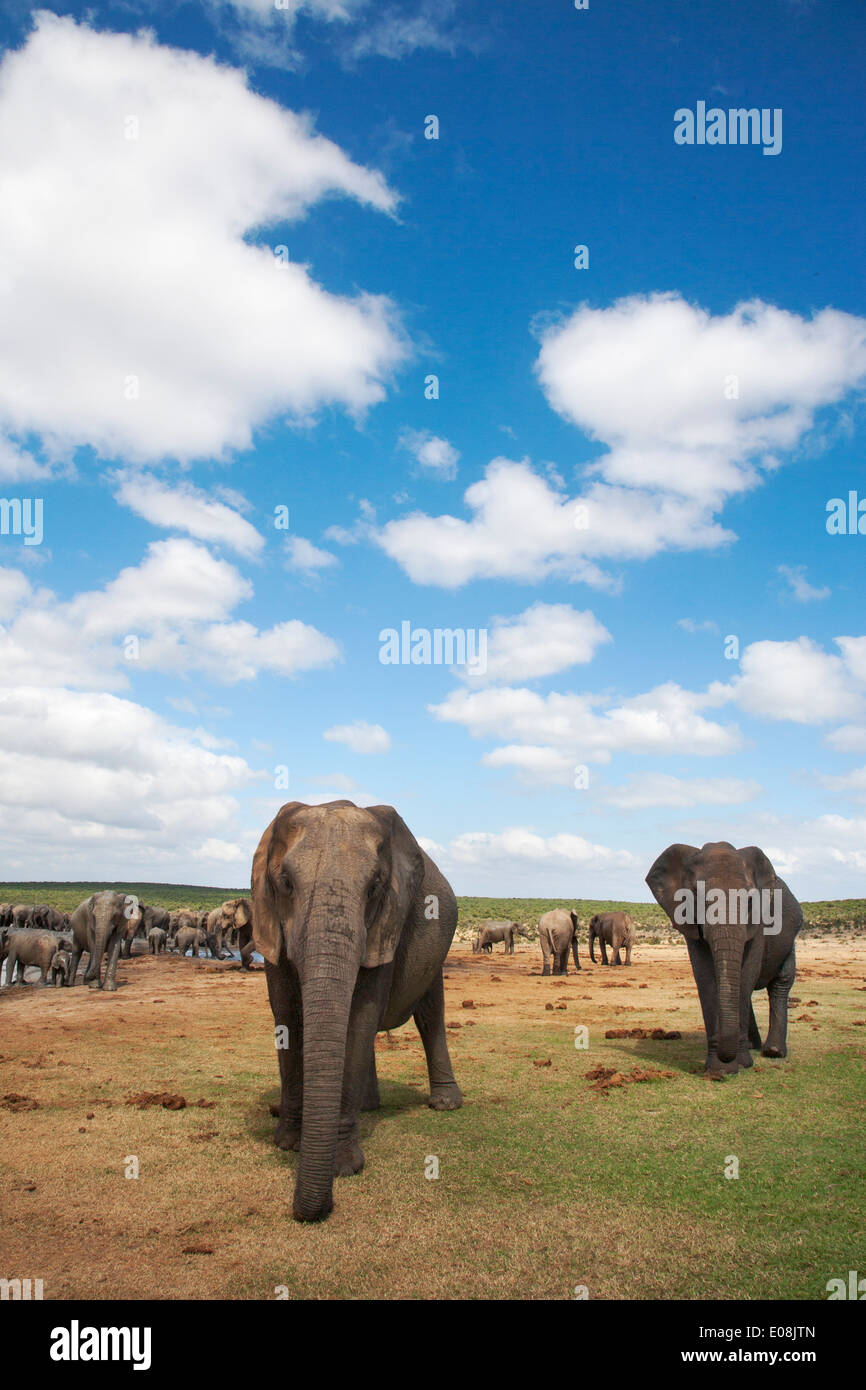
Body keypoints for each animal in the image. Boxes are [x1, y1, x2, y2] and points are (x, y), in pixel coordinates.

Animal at [252, 799, 463, 1223]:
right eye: (286, 883)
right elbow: (285, 1015)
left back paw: (445, 1104)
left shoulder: (386, 922)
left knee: (431, 1013)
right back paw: (370, 1106)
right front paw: (287, 1143)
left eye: (374, 887)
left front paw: (344, 1166)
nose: (307, 1213)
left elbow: (361, 1018)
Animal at [646, 841, 802, 1077]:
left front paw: (740, 1065)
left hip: (790, 939)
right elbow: (705, 977)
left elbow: (746, 975)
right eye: (697, 896)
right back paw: (752, 1046)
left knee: (780, 983)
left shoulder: (759, 923)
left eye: (750, 899)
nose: (727, 1060)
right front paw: (718, 1069)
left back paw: (773, 1052)